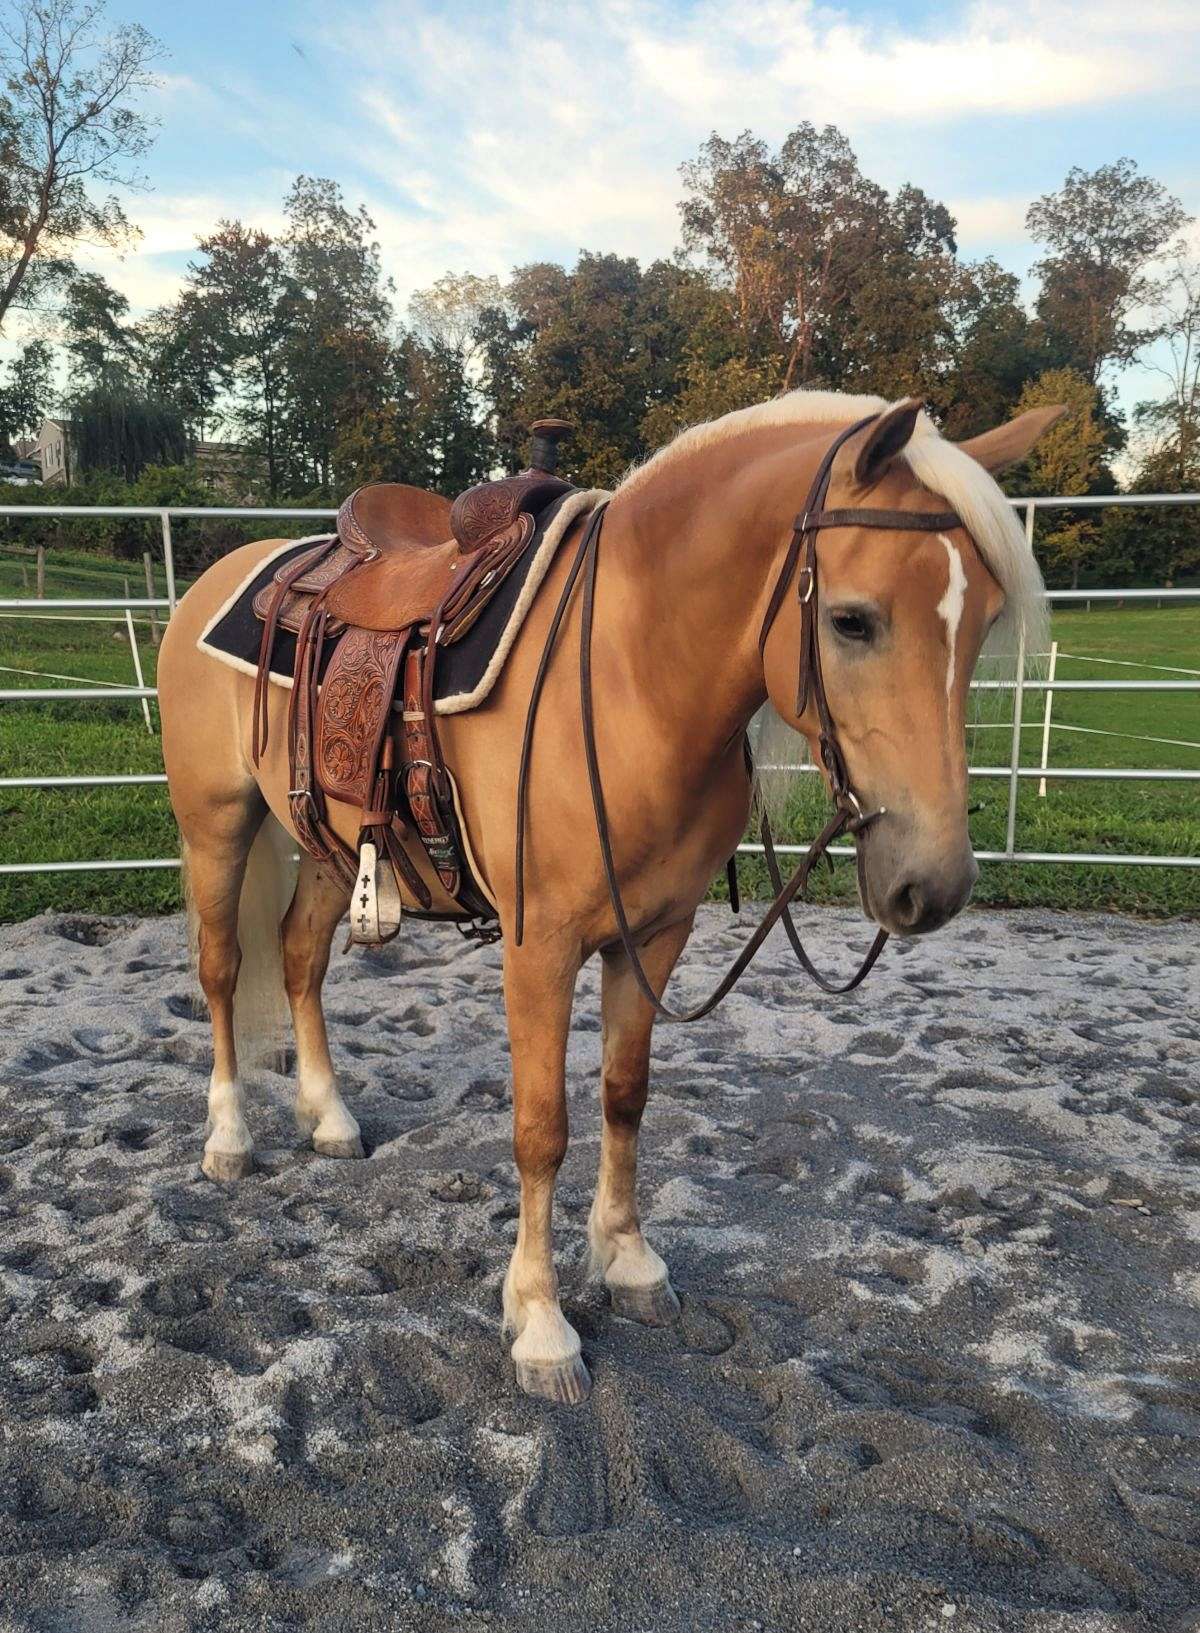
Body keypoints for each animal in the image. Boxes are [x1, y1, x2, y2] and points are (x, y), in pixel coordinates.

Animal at [157, 391, 1060, 1404]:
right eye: (853, 621)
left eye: (983, 624)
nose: (931, 883)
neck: (633, 674)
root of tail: (228, 570)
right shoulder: (538, 947)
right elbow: (541, 1129)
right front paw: (541, 1323)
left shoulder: (655, 934)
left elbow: (625, 1097)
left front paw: (627, 1262)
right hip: (217, 826)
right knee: (224, 969)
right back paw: (230, 1137)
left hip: (326, 844)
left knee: (301, 957)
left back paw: (330, 1117)